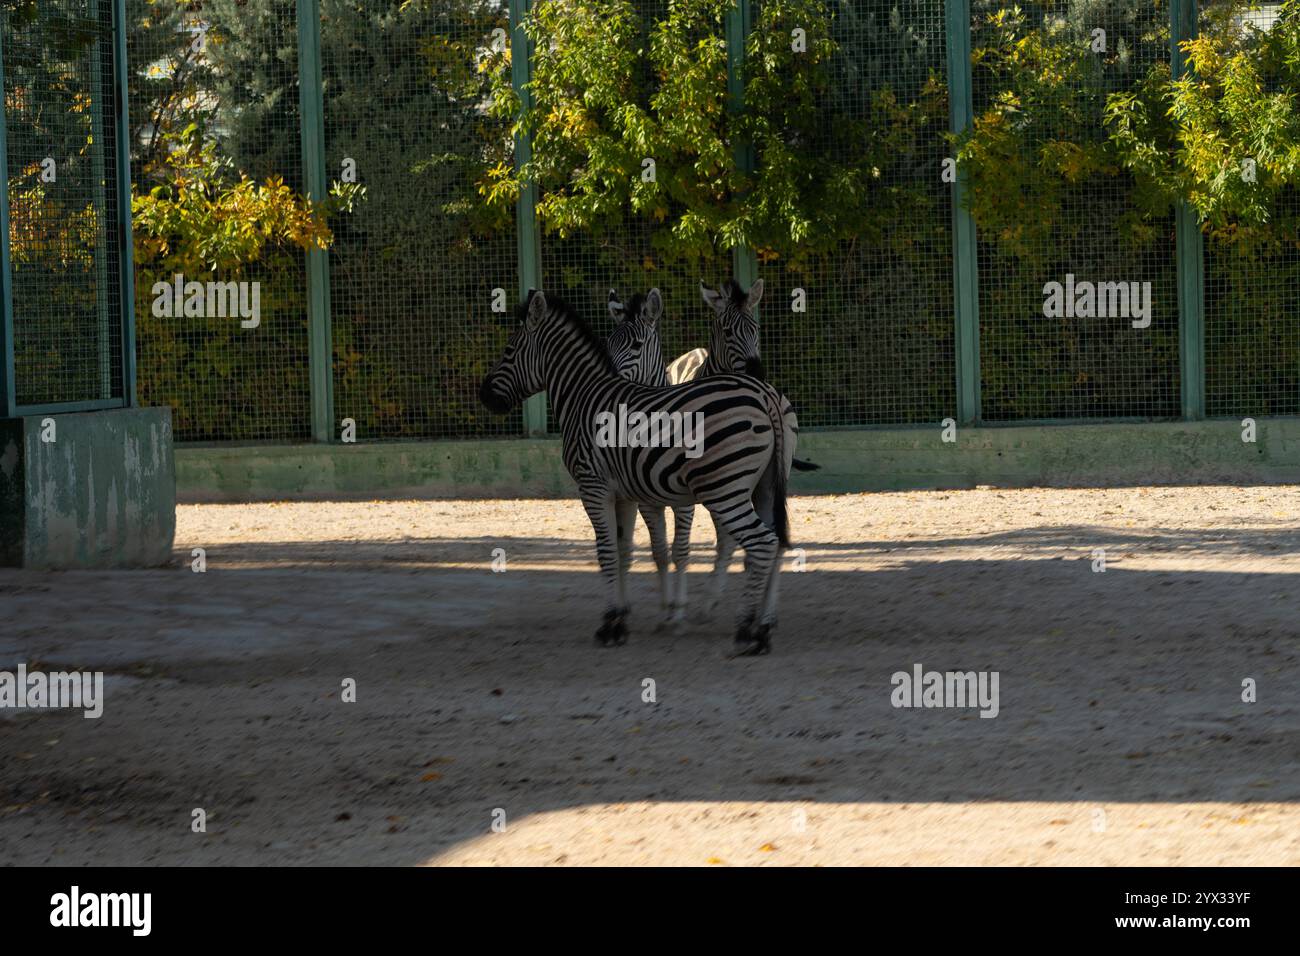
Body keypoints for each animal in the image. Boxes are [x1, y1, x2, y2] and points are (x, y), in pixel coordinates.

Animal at [480, 289, 790, 655]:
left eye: (508, 350)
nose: (482, 395)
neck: (583, 397)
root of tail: (764, 395)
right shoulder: (625, 494)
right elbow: (623, 551)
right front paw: (621, 621)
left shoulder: (593, 486)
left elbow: (605, 552)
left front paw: (609, 626)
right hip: (764, 487)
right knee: (777, 542)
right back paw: (764, 627)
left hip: (725, 489)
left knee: (762, 544)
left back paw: (747, 632)